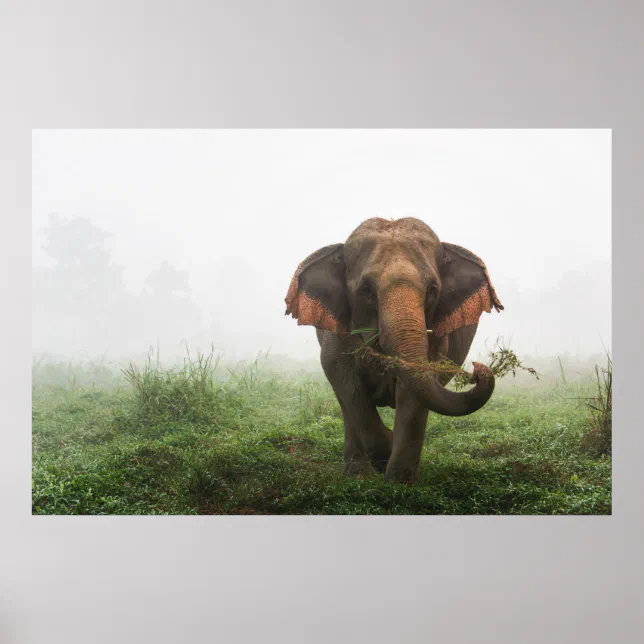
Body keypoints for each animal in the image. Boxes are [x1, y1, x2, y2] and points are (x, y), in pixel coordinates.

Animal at [285, 217, 504, 483]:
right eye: (366, 290)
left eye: (432, 290)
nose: (479, 370)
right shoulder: (335, 332)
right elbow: (342, 377)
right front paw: (381, 457)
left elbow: (415, 388)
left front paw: (399, 481)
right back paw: (357, 472)